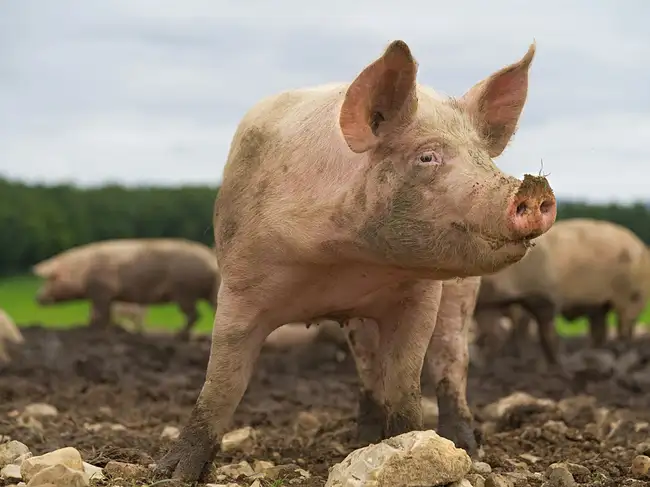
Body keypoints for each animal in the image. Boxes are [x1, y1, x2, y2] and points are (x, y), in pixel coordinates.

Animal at [32, 238, 221, 340]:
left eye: (51, 279)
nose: (37, 298)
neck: (82, 272)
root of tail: (211, 260)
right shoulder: (101, 295)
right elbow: (99, 314)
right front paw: (94, 329)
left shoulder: (102, 290)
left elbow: (102, 314)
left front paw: (94, 331)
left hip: (185, 291)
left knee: (194, 315)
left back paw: (179, 336)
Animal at [154, 39, 556, 482]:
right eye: (426, 157)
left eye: (485, 158)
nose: (534, 187)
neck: (344, 265)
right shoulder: (239, 285)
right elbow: (222, 383)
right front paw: (171, 474)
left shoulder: (420, 296)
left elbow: (405, 379)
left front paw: (413, 447)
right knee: (367, 364)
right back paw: (361, 440)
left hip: (463, 294)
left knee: (451, 359)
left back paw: (465, 444)